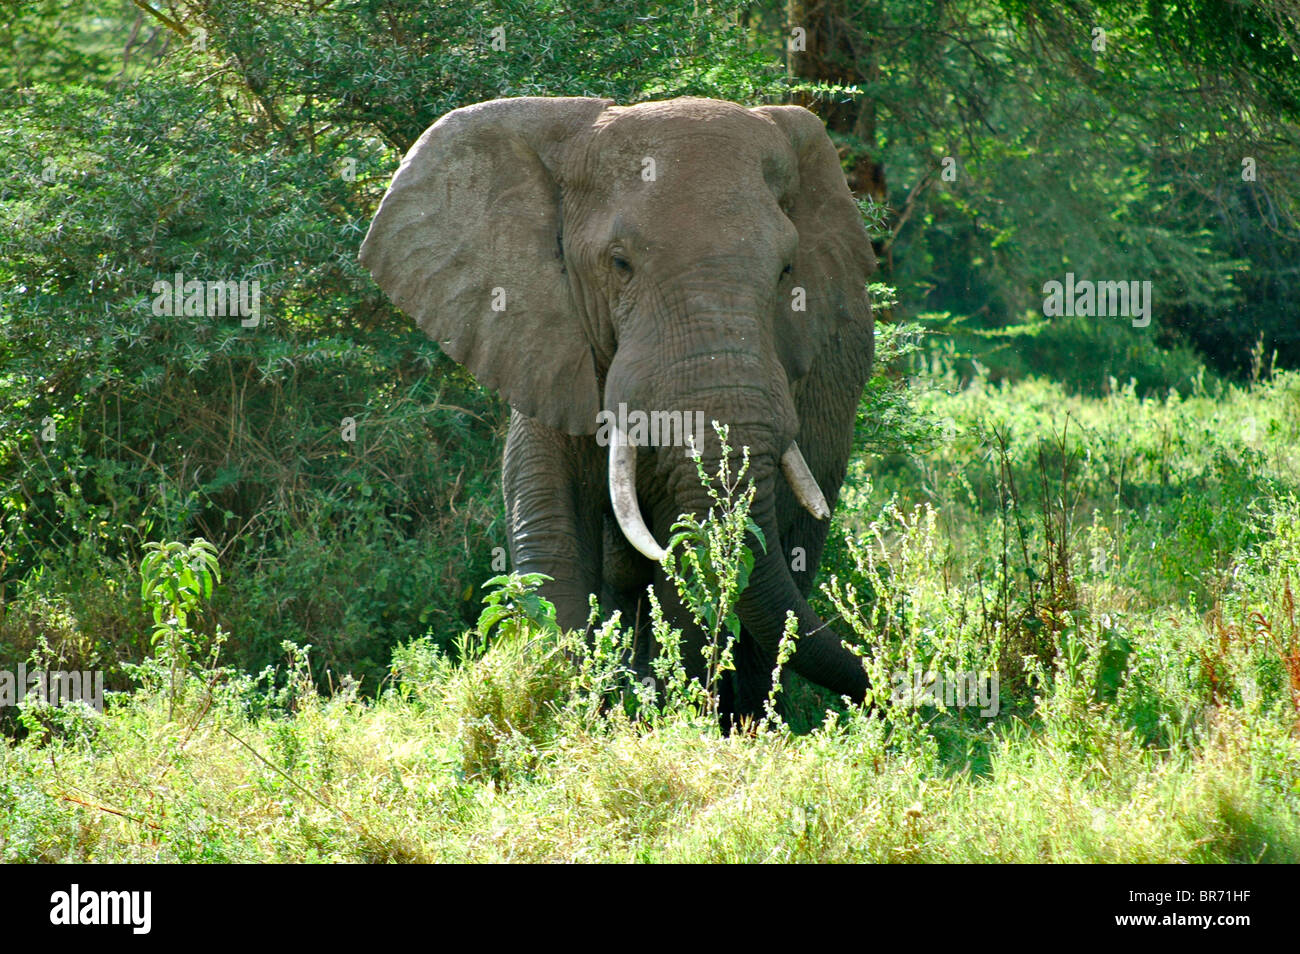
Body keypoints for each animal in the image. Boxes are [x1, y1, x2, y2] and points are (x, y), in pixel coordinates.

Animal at [360, 96, 877, 727]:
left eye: (785, 271)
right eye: (619, 263)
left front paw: (655, 712)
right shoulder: (542, 336)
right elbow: (550, 524)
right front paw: (586, 711)